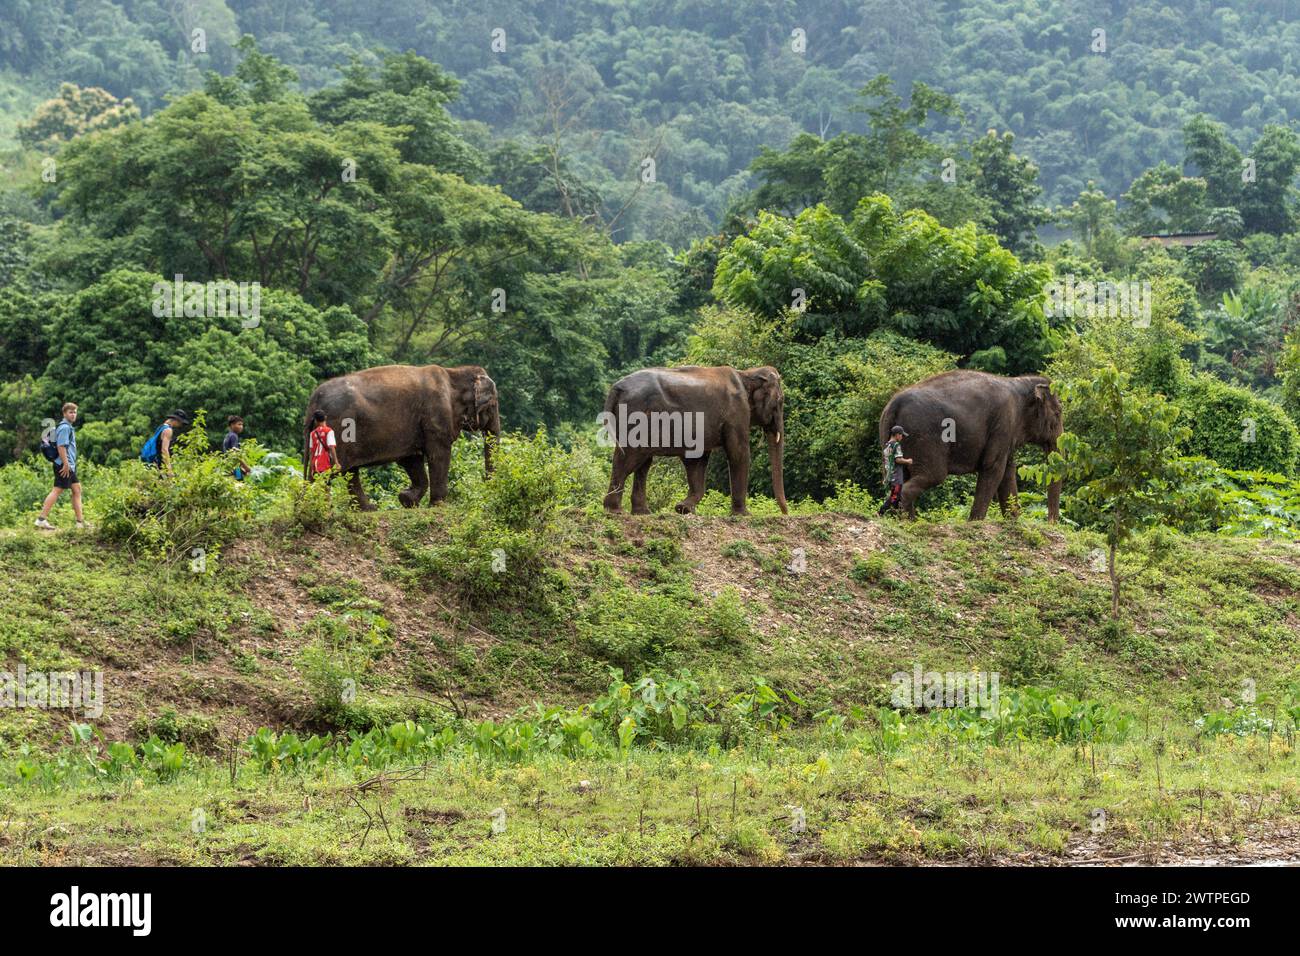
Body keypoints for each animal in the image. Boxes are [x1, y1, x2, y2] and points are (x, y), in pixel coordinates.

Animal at [303, 364, 500, 510]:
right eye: (492, 403)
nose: (486, 483)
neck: (454, 372)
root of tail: (313, 400)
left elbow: (411, 459)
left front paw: (406, 499)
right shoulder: (436, 416)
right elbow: (438, 454)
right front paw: (438, 505)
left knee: (349, 472)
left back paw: (367, 509)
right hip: (338, 429)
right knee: (332, 472)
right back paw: (318, 507)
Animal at [600, 365, 788, 516]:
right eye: (780, 401)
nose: (785, 513)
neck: (746, 374)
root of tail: (616, 388)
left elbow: (696, 460)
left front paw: (683, 508)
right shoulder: (737, 412)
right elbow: (738, 453)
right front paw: (744, 515)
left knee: (642, 462)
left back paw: (641, 513)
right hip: (637, 416)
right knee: (628, 459)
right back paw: (616, 511)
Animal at [878, 370, 1062, 521]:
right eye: (1058, 413)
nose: (1051, 522)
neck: (1020, 381)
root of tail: (894, 405)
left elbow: (1008, 472)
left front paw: (1014, 522)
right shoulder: (1003, 423)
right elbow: (994, 468)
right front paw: (976, 522)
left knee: (900, 481)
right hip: (924, 436)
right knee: (932, 476)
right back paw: (909, 522)